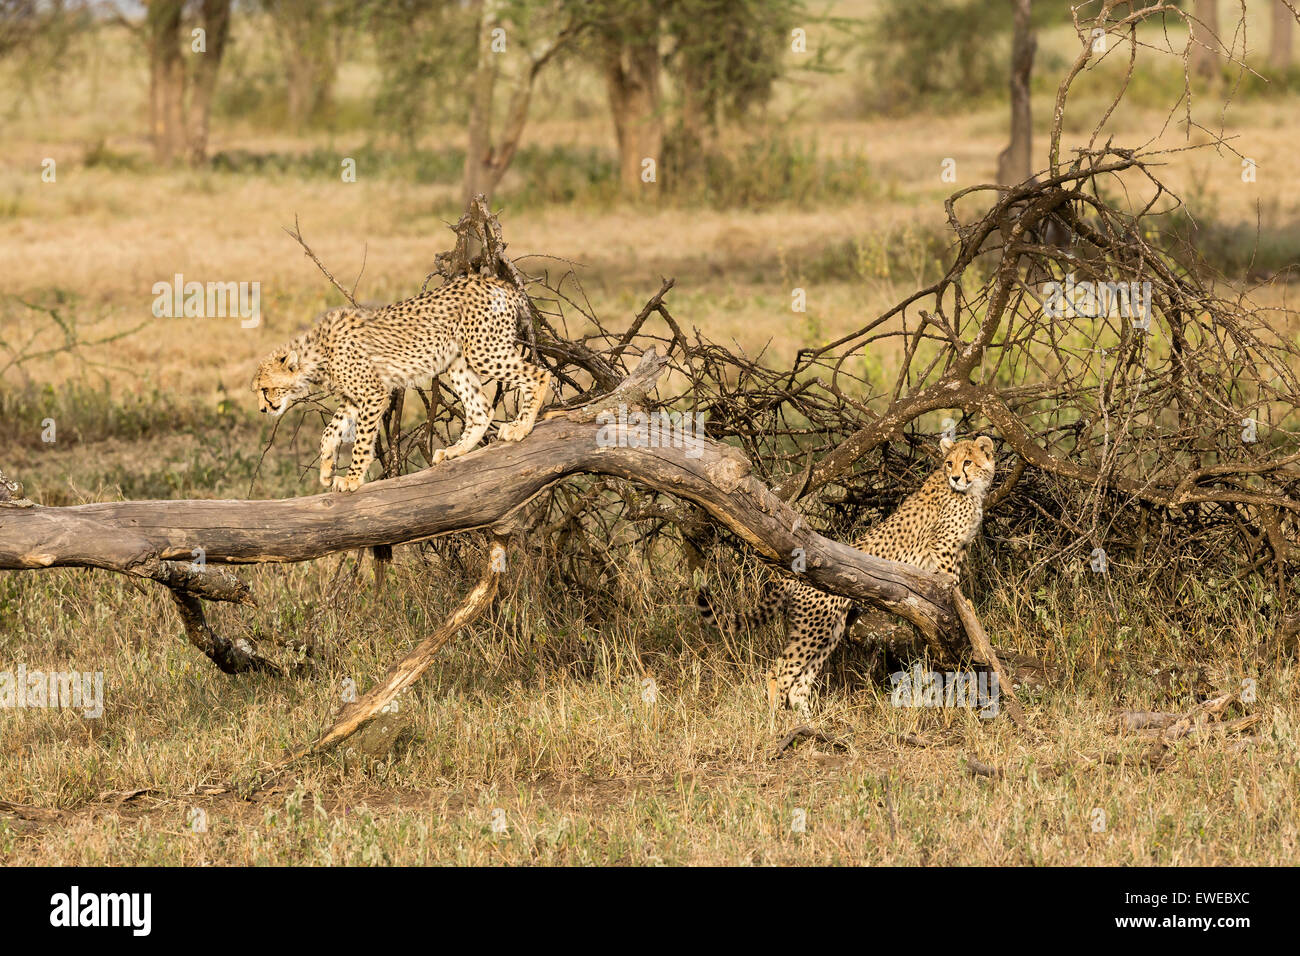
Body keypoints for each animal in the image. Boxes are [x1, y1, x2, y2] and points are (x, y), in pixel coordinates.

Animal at [252, 274, 553, 492]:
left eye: (266, 390)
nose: (263, 410)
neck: (317, 353)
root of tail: (497, 281)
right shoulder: (353, 399)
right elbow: (329, 431)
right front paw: (327, 468)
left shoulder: (373, 394)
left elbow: (361, 441)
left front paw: (351, 479)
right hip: (457, 361)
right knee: (481, 409)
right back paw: (455, 451)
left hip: (483, 351)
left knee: (539, 374)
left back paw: (521, 427)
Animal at [698, 435, 997, 713]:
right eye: (949, 463)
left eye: (967, 462)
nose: (956, 477)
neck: (971, 491)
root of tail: (794, 575)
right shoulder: (943, 546)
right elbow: (951, 583)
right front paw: (957, 615)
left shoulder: (958, 548)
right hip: (815, 625)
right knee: (781, 668)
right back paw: (776, 719)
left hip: (828, 629)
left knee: (800, 679)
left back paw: (808, 722)